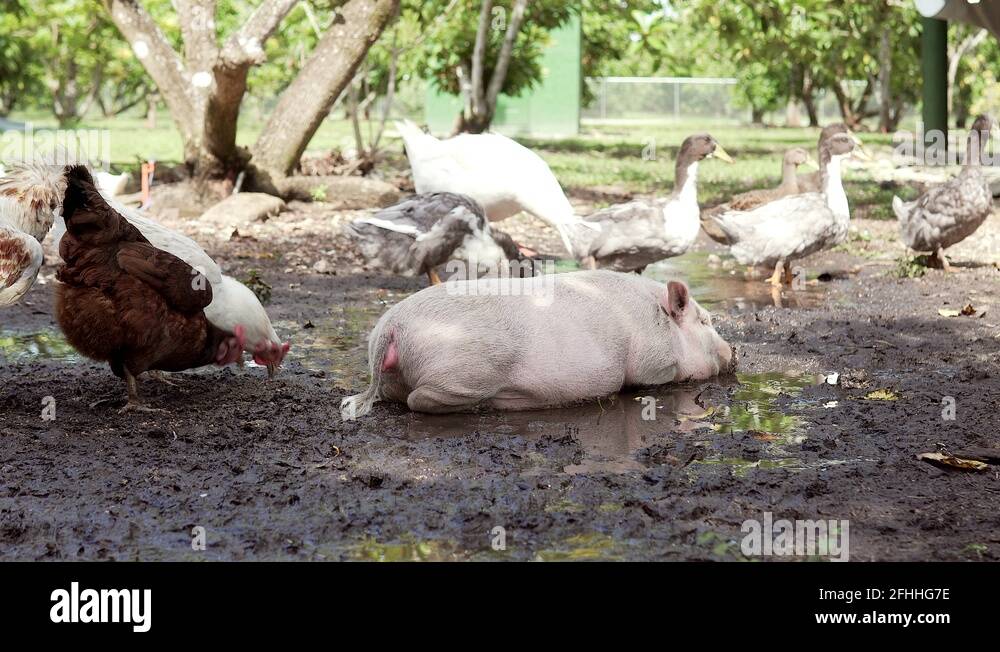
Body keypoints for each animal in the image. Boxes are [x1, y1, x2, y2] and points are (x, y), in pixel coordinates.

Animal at [340, 270, 736, 419]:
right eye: (704, 322)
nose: (734, 352)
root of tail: (392, 326)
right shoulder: (653, 363)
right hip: (463, 373)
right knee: (418, 401)